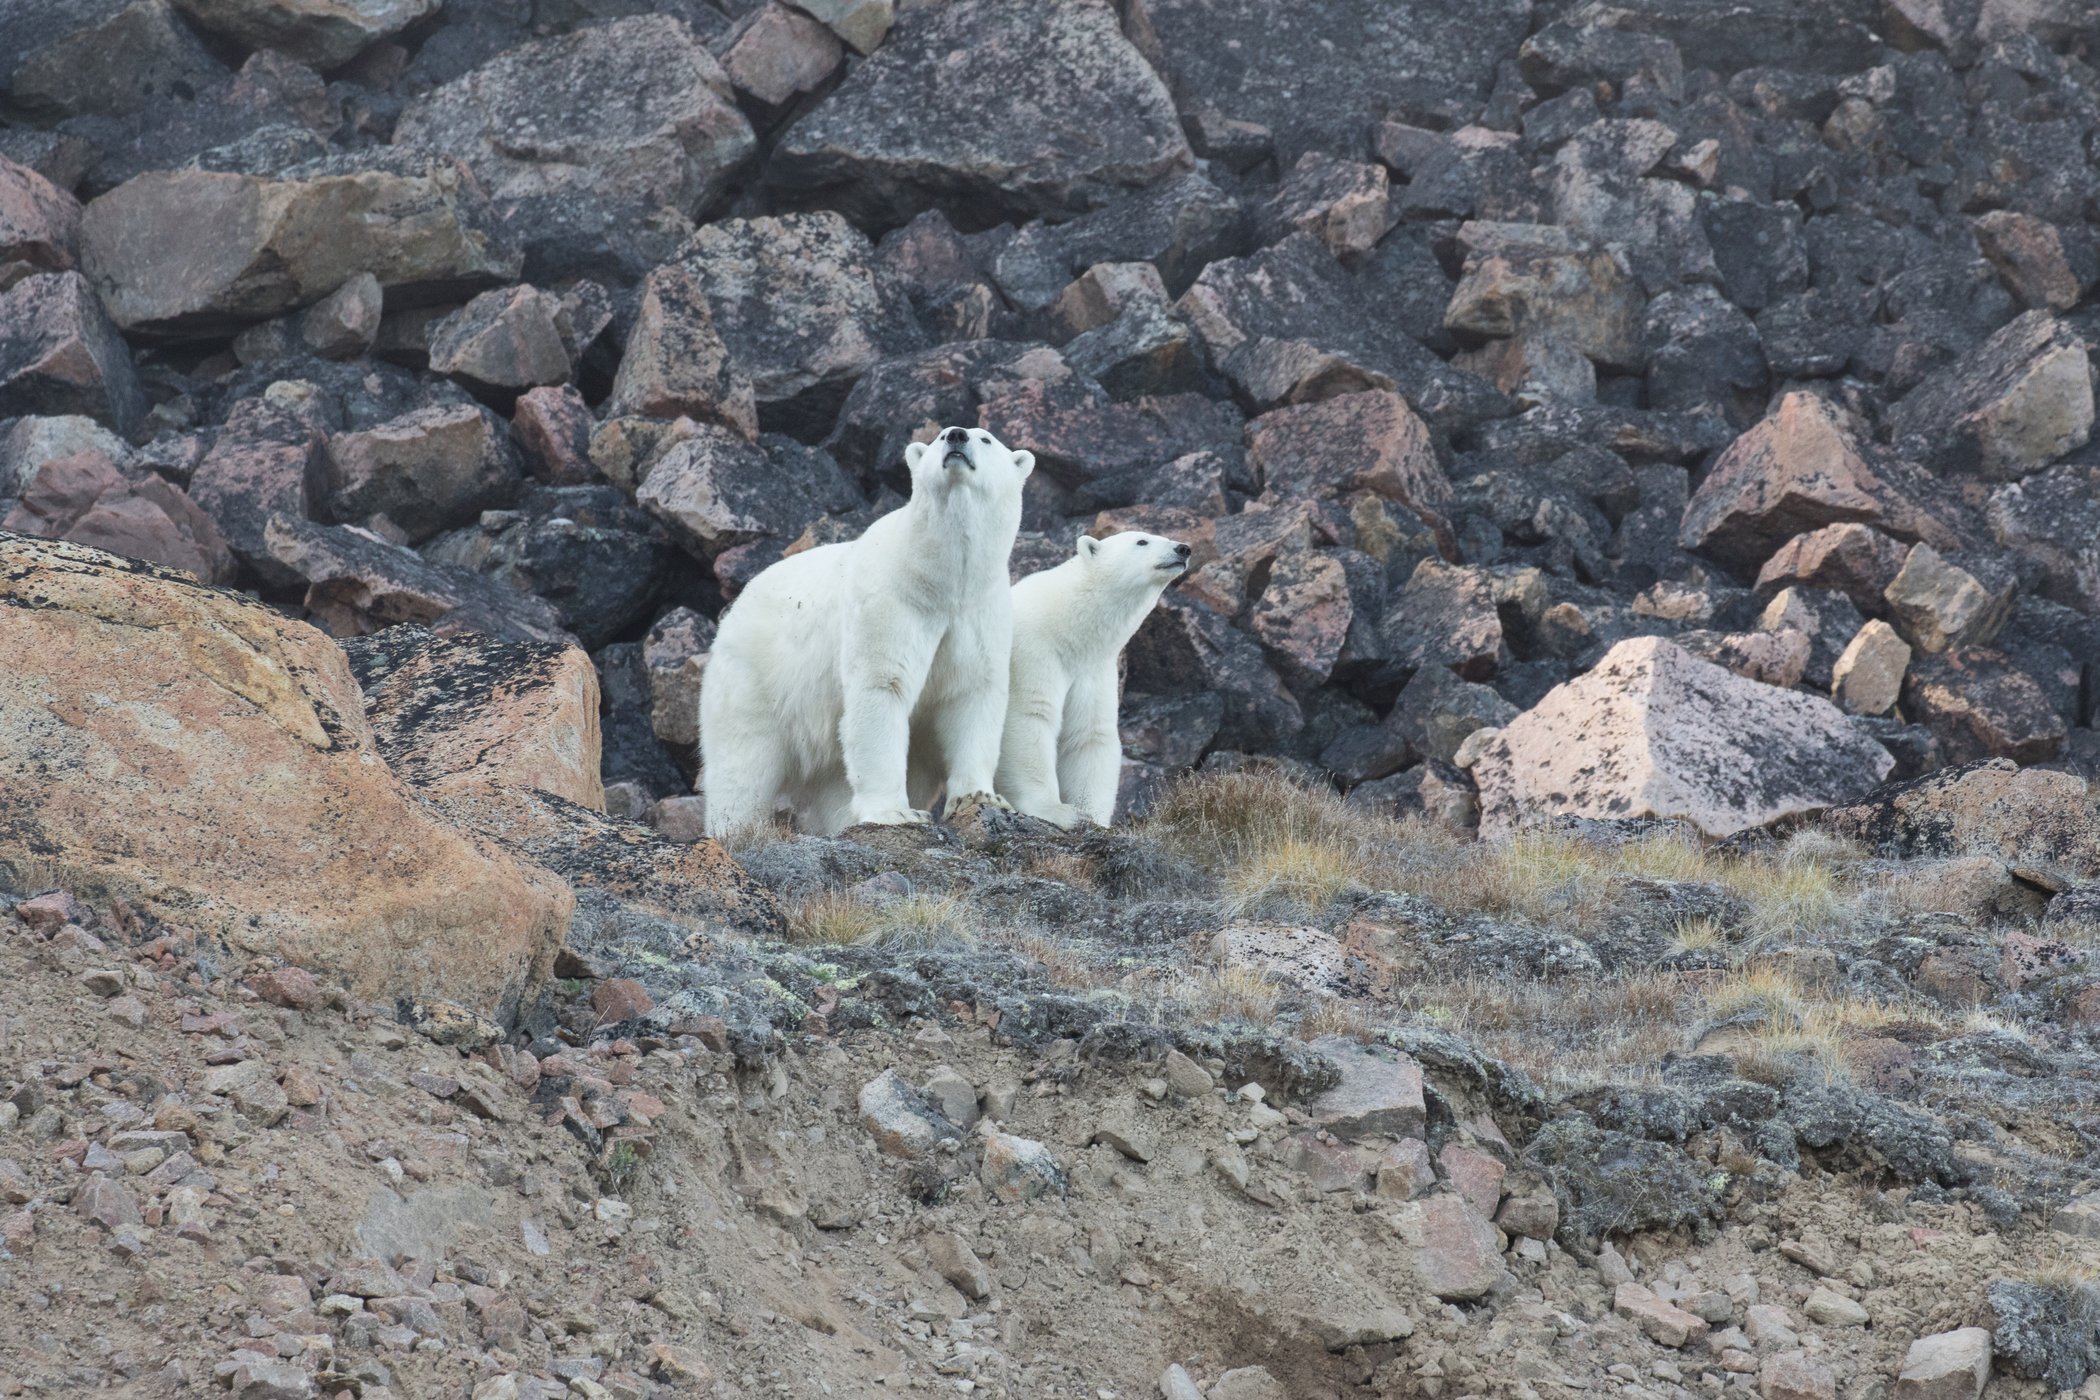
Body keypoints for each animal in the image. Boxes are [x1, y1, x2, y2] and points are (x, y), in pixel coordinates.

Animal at [699, 425, 1034, 838]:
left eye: (986, 439)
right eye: (939, 436)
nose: (956, 436)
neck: (941, 581)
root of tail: (734, 609)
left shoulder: (979, 613)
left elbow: (971, 693)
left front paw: (980, 797)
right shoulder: (892, 602)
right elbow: (882, 687)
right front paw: (895, 813)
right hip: (757, 678)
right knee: (743, 760)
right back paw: (735, 831)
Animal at [995, 530, 1191, 828]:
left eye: (1165, 537)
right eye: (1142, 541)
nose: (1183, 549)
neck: (1065, 625)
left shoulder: (1093, 670)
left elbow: (1088, 735)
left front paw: (1091, 817)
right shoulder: (1031, 653)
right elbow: (1028, 718)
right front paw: (1056, 810)